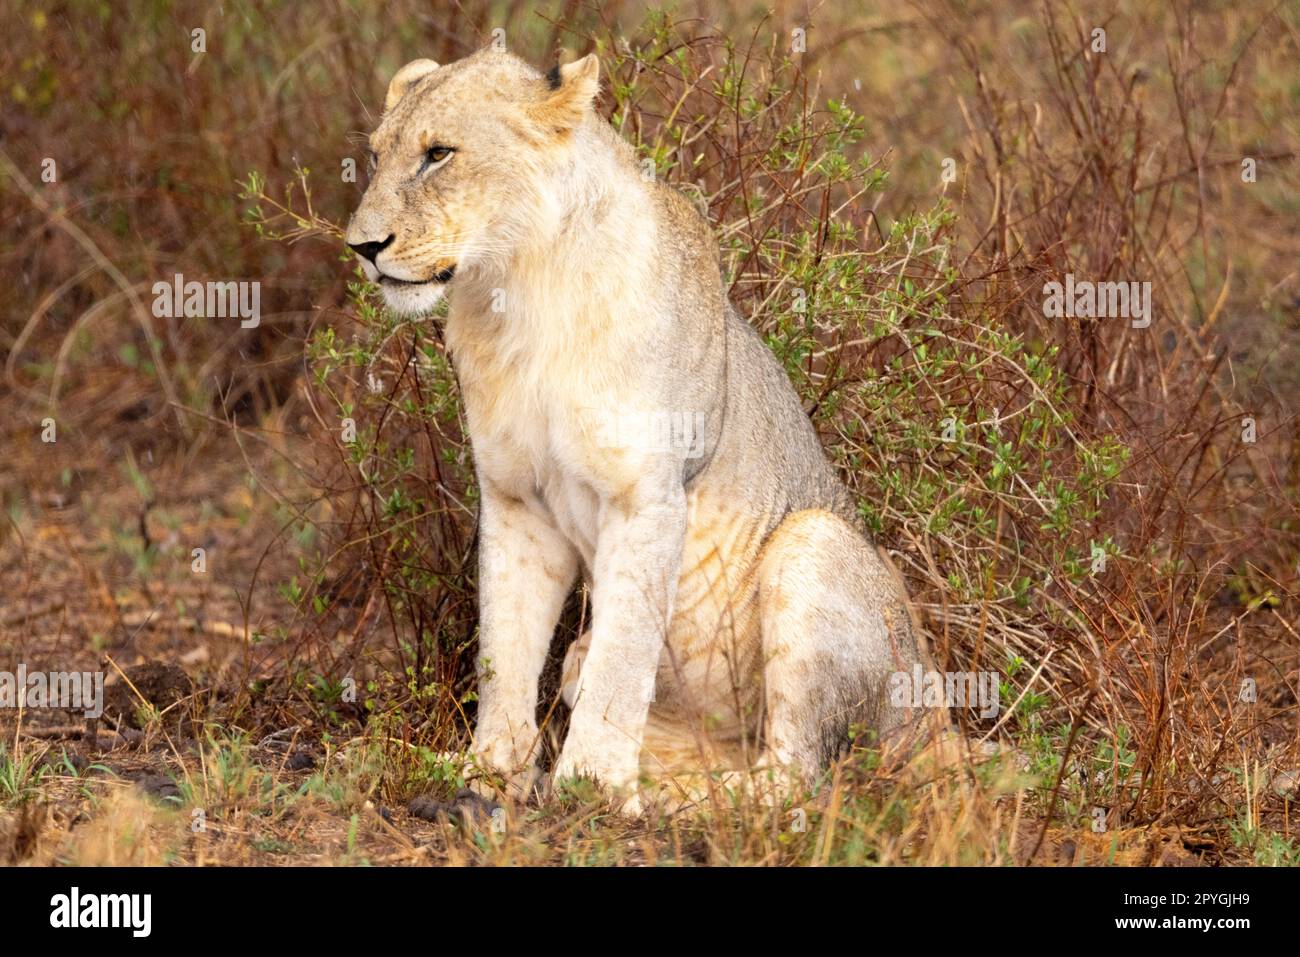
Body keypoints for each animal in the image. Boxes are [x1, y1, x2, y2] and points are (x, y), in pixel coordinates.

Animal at [345, 48, 928, 812]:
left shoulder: (648, 496)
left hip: (816, 542)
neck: (517, 293)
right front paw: (491, 770)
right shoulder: (515, 499)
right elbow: (505, 646)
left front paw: (591, 784)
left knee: (798, 780)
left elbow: (623, 655)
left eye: (439, 153)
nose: (362, 246)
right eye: (375, 155)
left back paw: (683, 802)